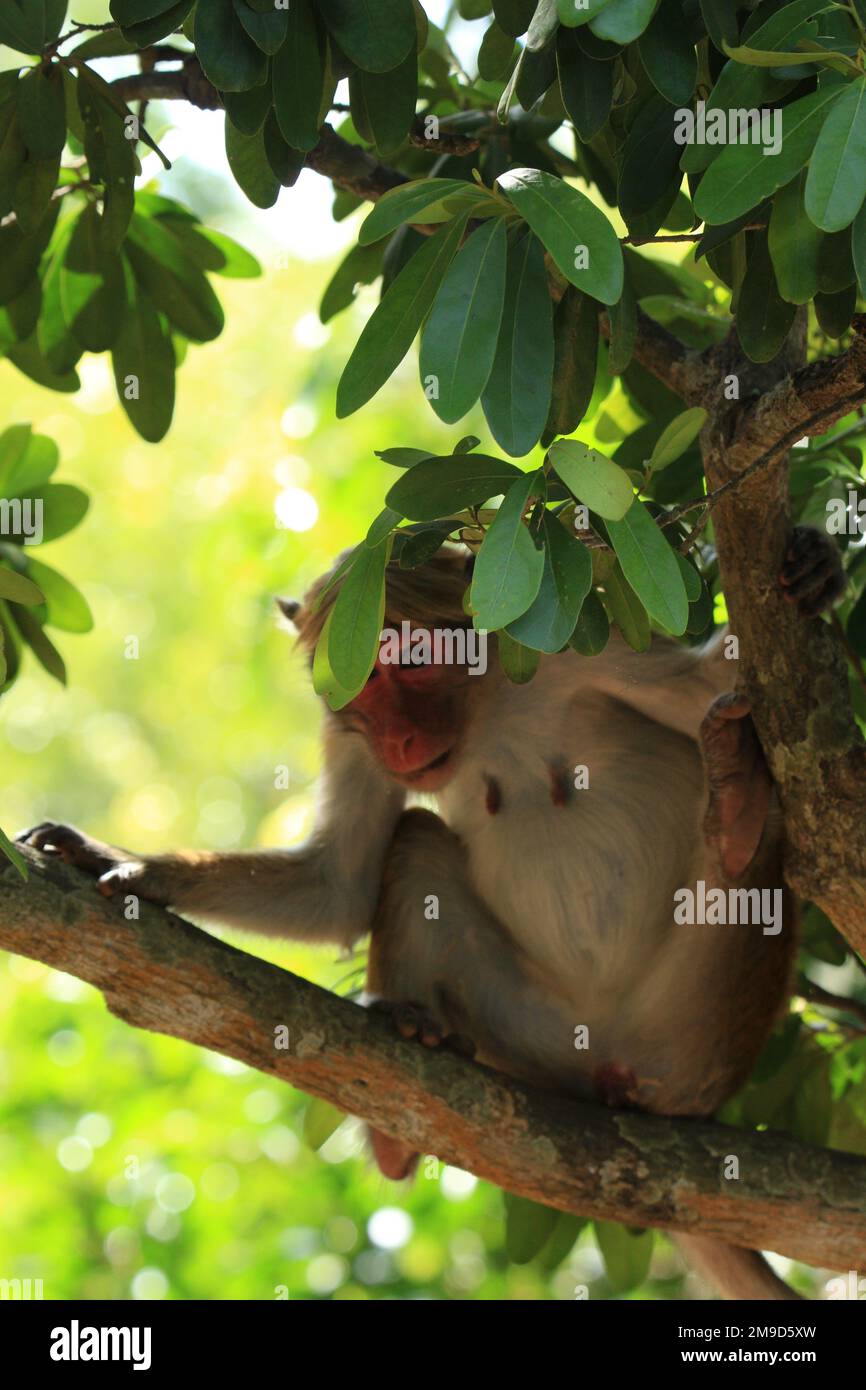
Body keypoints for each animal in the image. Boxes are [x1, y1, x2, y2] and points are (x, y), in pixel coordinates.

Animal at [17, 523, 845, 1301]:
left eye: (412, 664)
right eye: (358, 687)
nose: (398, 739)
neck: (490, 706)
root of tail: (619, 1069)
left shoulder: (591, 641)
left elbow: (715, 680)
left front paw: (816, 572)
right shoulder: (346, 734)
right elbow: (341, 883)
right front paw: (135, 867)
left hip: (706, 1017)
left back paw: (739, 807)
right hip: (531, 1035)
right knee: (414, 841)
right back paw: (409, 1067)